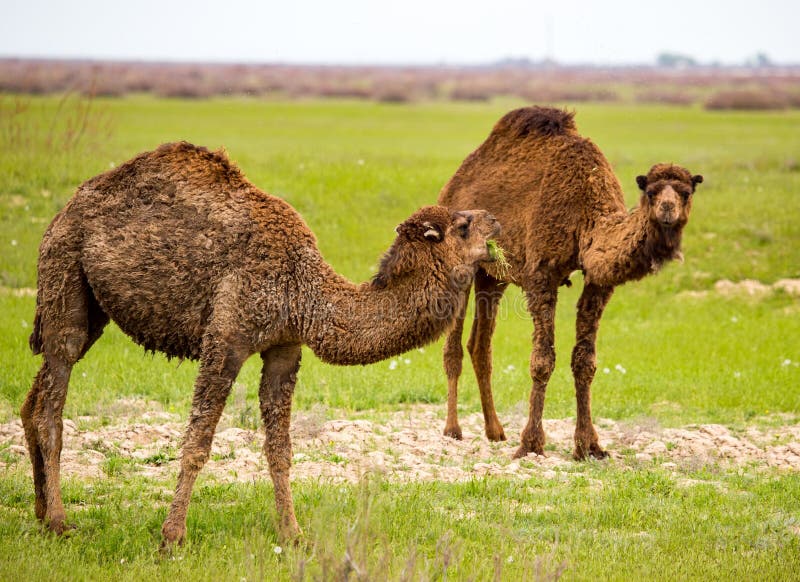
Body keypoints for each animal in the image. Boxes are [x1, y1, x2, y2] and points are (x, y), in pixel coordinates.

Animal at [21, 141, 500, 547]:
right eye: (462, 225)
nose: (495, 218)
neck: (304, 290)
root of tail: (63, 212)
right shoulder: (226, 338)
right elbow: (198, 442)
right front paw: (172, 536)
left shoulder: (285, 347)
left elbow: (279, 449)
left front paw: (292, 533)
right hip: (64, 271)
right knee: (54, 397)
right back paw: (61, 522)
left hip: (91, 307)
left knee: (36, 396)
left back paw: (41, 514)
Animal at [437, 106, 703, 460]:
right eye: (651, 192)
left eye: (686, 192)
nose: (667, 209)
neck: (586, 209)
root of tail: (453, 182)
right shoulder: (541, 275)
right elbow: (542, 360)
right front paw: (531, 444)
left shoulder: (599, 282)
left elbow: (585, 361)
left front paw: (589, 445)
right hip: (462, 265)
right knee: (453, 347)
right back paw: (453, 430)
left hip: (493, 275)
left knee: (480, 346)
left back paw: (495, 431)